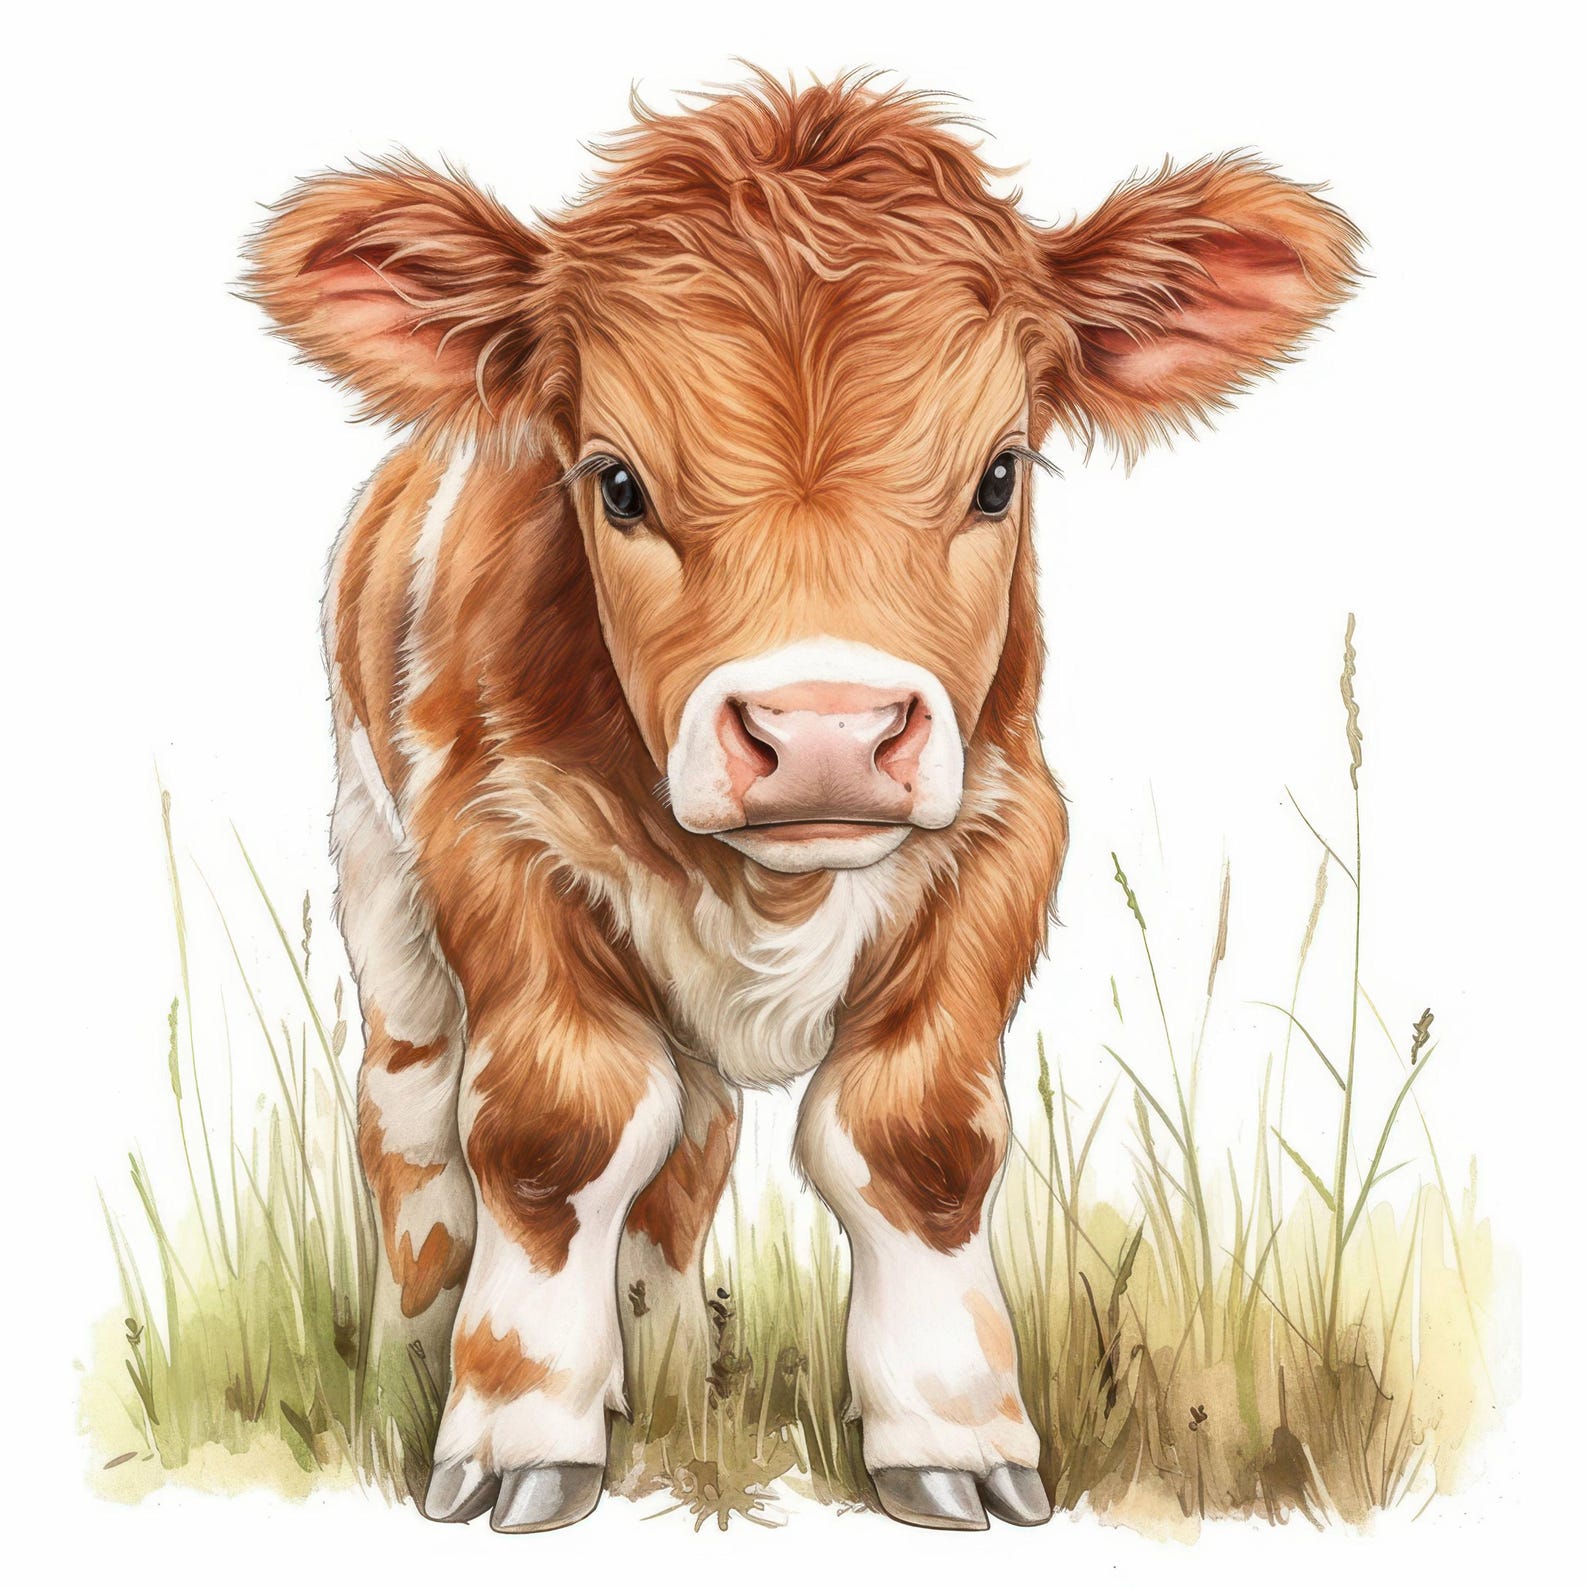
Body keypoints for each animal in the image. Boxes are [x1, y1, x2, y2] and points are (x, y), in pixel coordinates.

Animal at [244, 69, 1359, 1533]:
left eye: (1000, 473)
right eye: (615, 480)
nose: (823, 733)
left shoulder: (1007, 827)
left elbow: (915, 1137)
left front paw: (950, 1429)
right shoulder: (490, 833)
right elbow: (552, 1130)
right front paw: (515, 1426)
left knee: (691, 1147)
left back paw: (665, 1375)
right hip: (377, 871)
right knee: (417, 1125)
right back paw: (409, 1367)